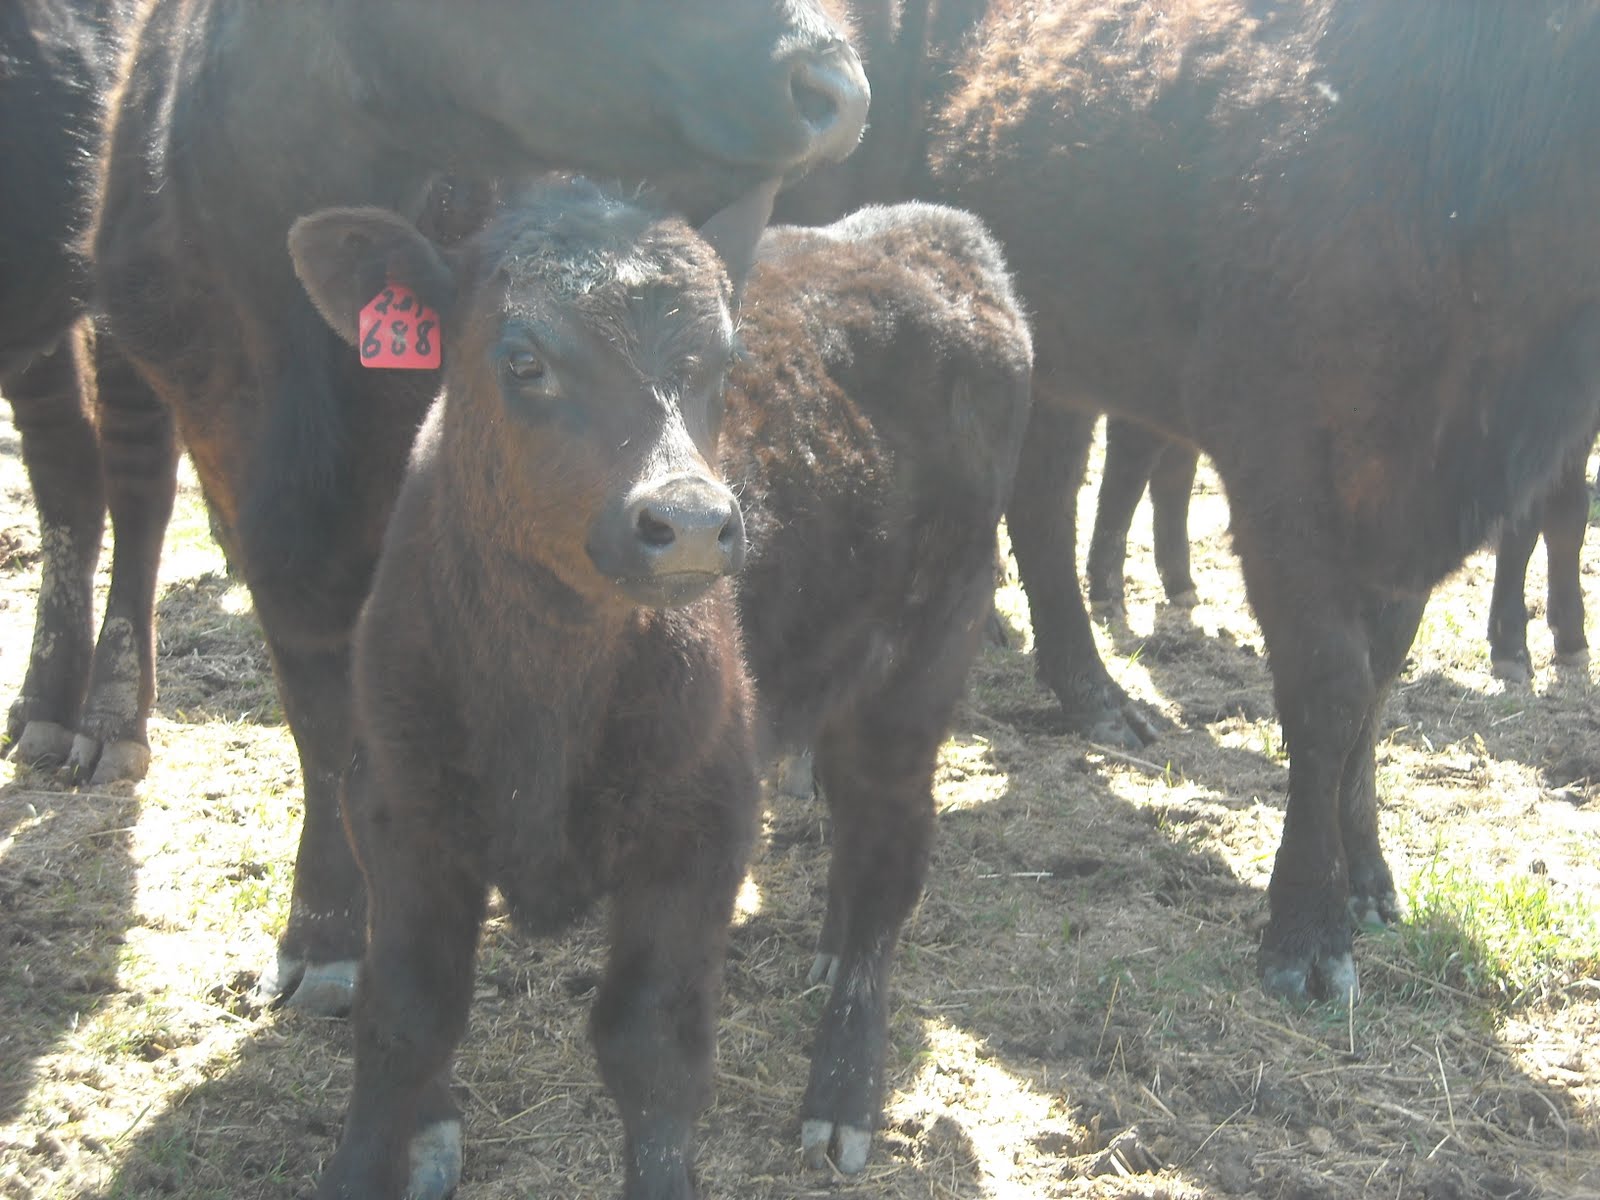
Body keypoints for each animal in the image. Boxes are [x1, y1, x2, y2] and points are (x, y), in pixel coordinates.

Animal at [288, 179, 1031, 1194]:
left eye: (722, 358)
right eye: (522, 360)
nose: (690, 521)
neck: (541, 698)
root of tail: (925, 229)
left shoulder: (702, 824)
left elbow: (651, 1049)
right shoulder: (397, 809)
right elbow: (403, 1022)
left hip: (924, 661)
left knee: (891, 851)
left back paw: (842, 1092)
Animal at [787, 0, 1600, 1004]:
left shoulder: (1412, 505)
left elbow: (1376, 686)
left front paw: (1368, 878)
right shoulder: (1276, 463)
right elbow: (1329, 687)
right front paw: (1307, 931)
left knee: (1044, 509)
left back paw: (1099, 701)